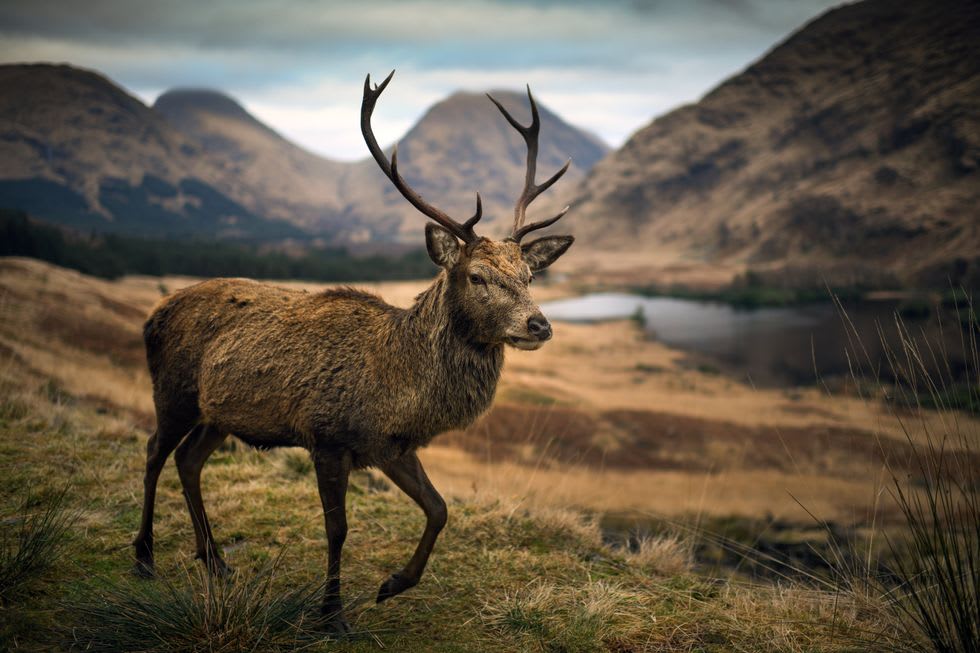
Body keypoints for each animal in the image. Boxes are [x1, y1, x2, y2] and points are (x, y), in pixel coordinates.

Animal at [132, 71, 574, 635]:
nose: (539, 324)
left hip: (219, 414)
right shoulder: (327, 436)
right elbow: (338, 528)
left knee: (189, 461)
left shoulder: (391, 446)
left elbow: (439, 508)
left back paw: (215, 560)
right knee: (153, 452)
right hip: (173, 391)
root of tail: (153, 314)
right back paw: (144, 557)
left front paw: (392, 584)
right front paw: (332, 613)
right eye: (477, 276)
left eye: (528, 275)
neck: (398, 388)